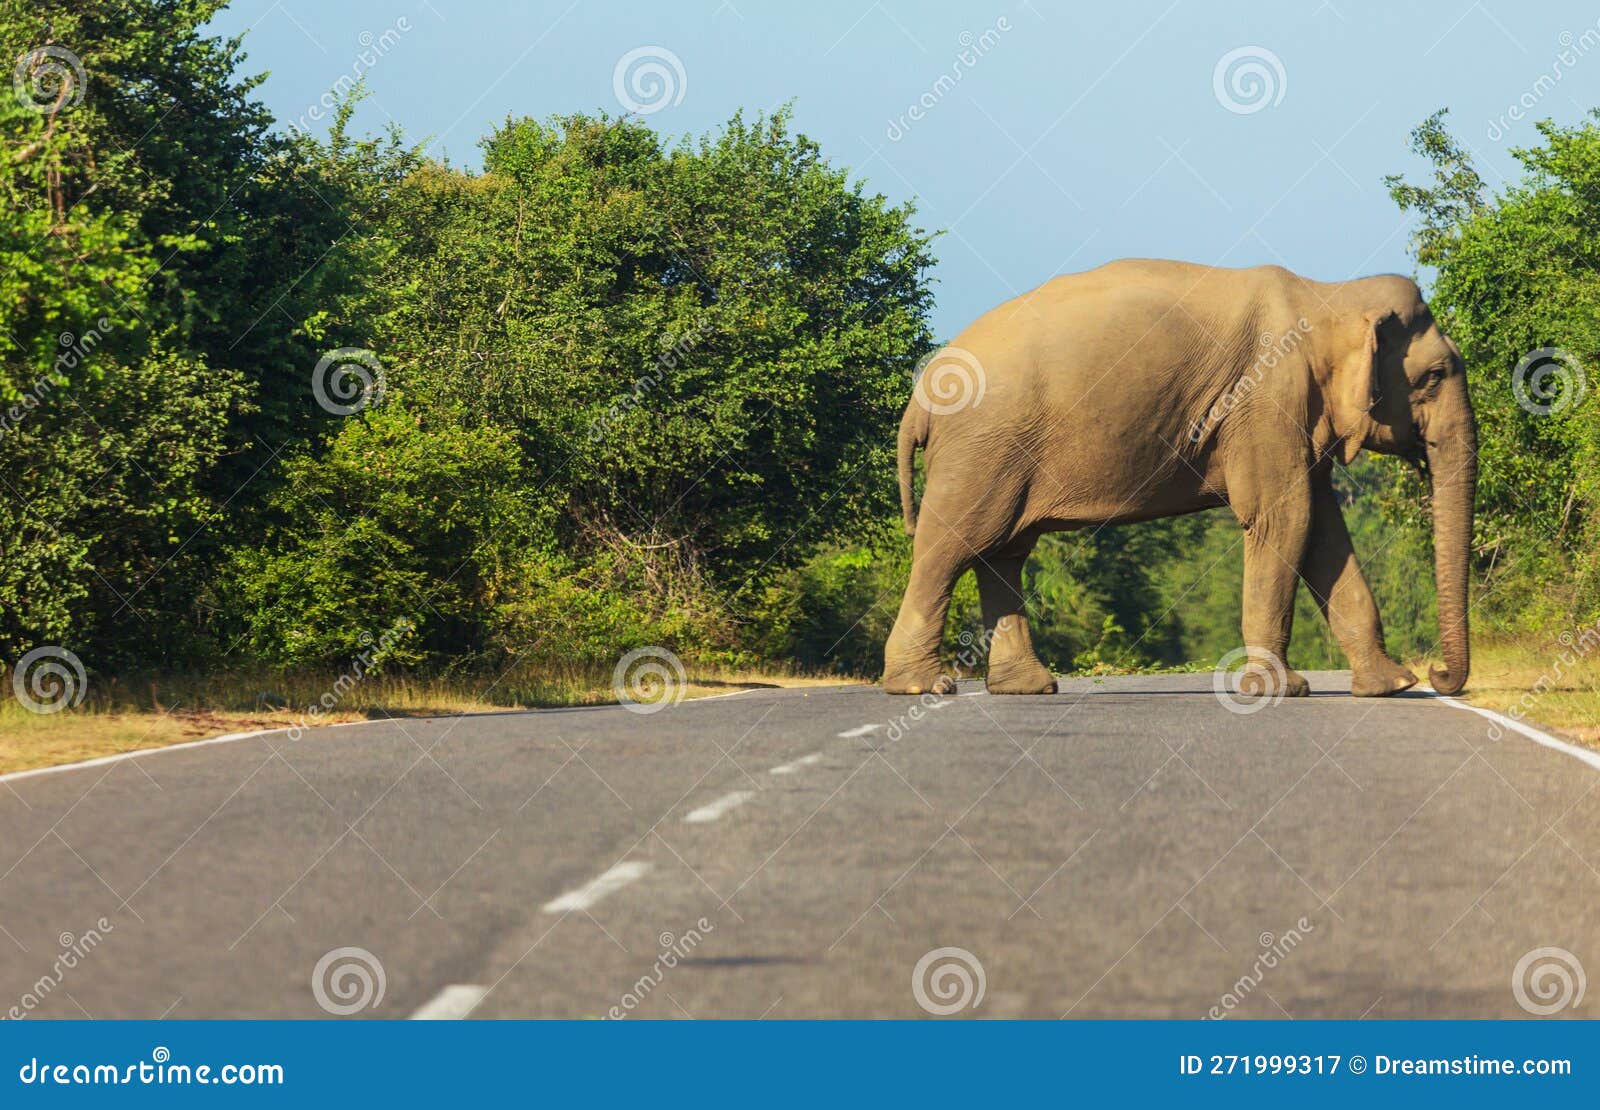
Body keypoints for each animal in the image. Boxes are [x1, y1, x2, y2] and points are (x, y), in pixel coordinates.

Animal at [883, 259, 1476, 699]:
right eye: (1434, 376)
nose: (1439, 676)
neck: (1326, 294)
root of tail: (919, 399)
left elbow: (1324, 531)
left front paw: (1391, 686)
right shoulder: (1266, 399)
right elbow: (1284, 519)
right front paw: (1282, 691)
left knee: (1002, 554)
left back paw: (1027, 688)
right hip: (981, 451)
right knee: (951, 550)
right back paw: (922, 687)